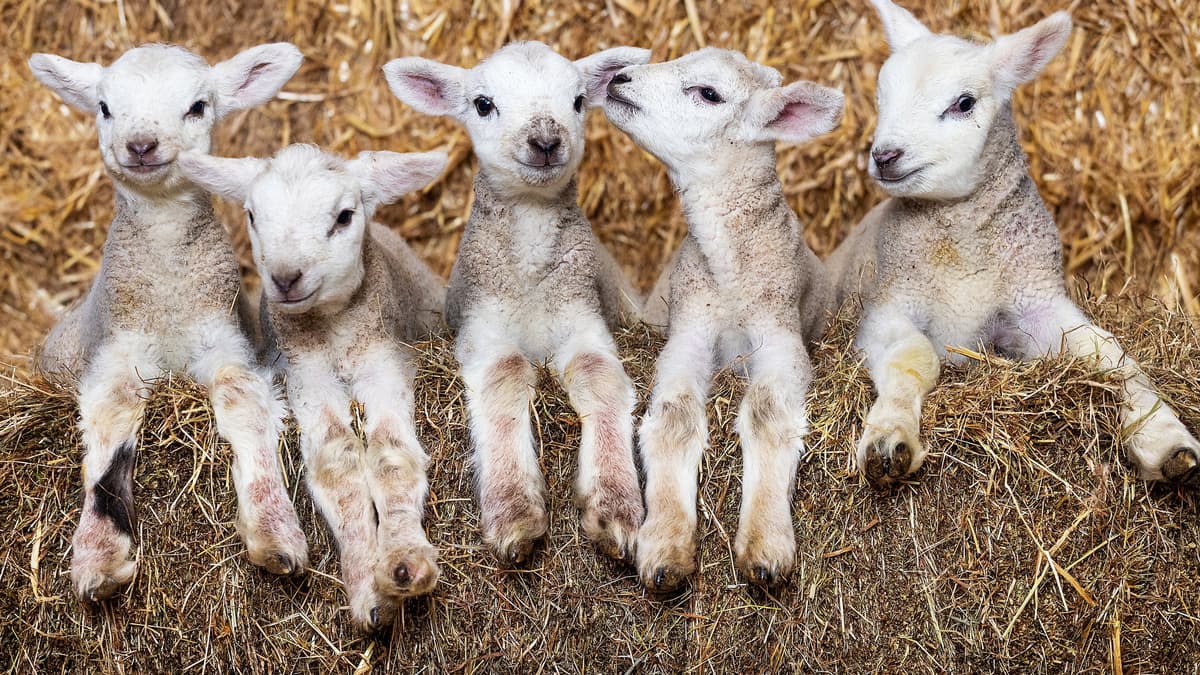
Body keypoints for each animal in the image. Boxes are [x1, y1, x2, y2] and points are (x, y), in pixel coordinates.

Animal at [28, 43, 308, 602]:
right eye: (105, 107)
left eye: (198, 106)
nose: (141, 145)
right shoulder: (120, 347)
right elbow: (113, 417)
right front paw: (99, 553)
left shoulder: (225, 339)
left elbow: (243, 400)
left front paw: (273, 529)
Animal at [178, 144, 448, 631]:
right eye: (251, 215)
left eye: (344, 216)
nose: (286, 277)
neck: (334, 330)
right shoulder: (307, 374)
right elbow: (336, 462)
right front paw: (367, 589)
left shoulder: (384, 362)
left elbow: (391, 455)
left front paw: (404, 561)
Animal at [382, 42, 650, 564]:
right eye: (483, 104)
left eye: (578, 101)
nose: (545, 140)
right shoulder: (481, 328)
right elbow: (505, 373)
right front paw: (513, 509)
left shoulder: (583, 316)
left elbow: (597, 372)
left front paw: (614, 502)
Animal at [602, 48, 843, 591]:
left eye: (708, 93)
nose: (618, 78)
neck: (731, 277)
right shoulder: (688, 335)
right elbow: (673, 416)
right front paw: (665, 544)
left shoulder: (781, 337)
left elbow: (769, 412)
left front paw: (766, 543)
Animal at [827, 0, 1200, 487]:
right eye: (881, 99)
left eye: (964, 103)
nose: (884, 156)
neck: (963, 249)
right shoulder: (887, 309)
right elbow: (914, 357)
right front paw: (890, 440)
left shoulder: (1037, 303)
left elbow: (1112, 356)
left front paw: (1165, 439)